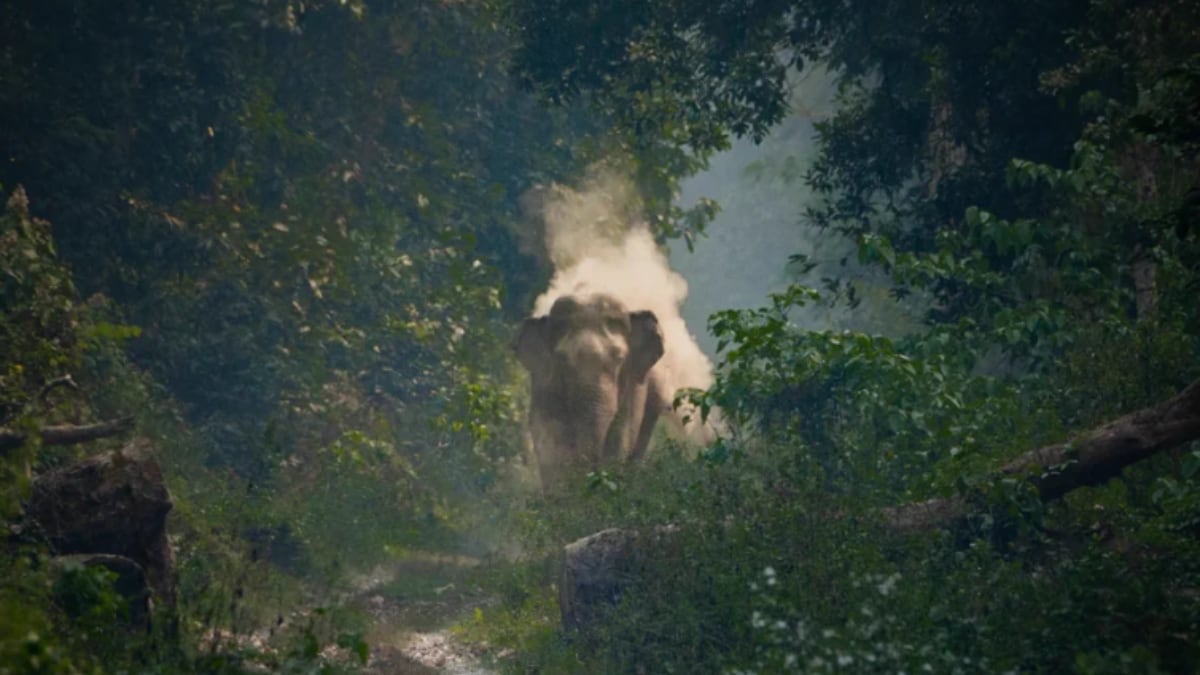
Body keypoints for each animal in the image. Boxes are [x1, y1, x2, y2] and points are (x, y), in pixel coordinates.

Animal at [515, 293, 669, 487]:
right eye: (562, 361)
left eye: (620, 359)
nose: (592, 469)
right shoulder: (543, 383)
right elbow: (549, 437)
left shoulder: (634, 382)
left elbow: (624, 431)